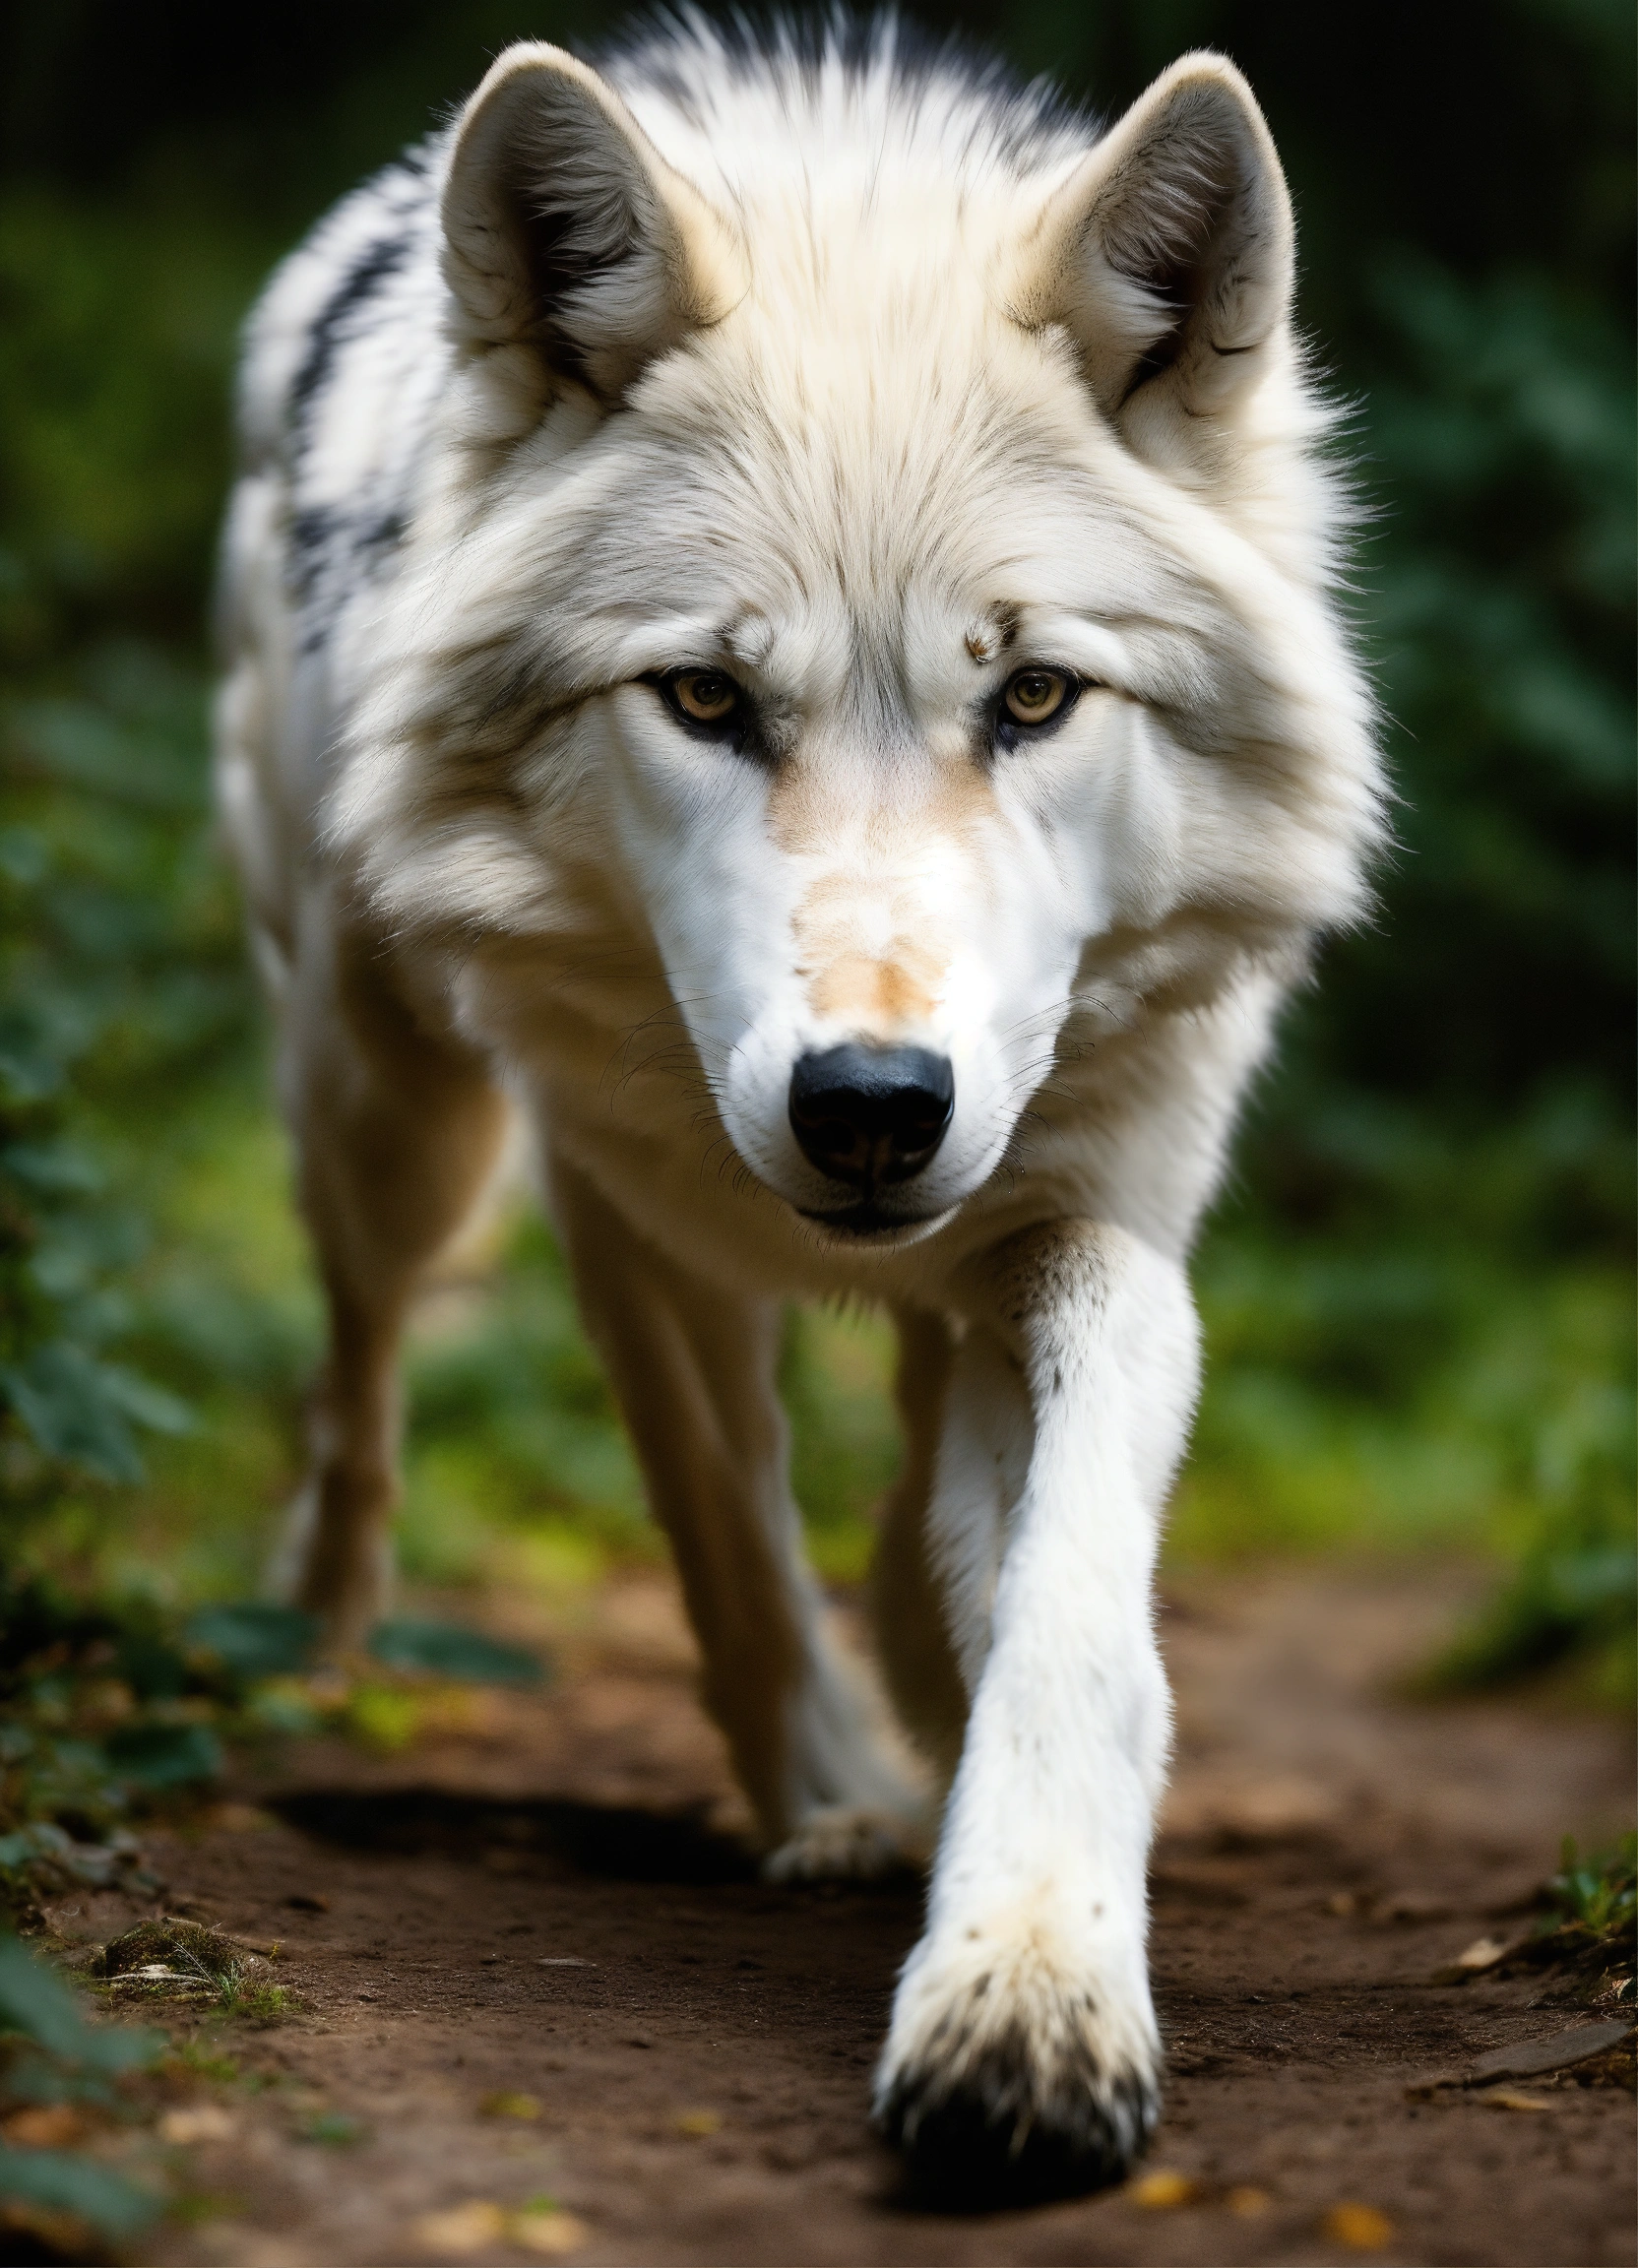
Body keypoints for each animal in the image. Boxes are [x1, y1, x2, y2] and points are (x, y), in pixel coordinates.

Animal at [215, 10, 1381, 2202]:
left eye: (1030, 697)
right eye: (703, 697)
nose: (868, 1107)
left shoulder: (1091, 1205)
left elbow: (1068, 1587)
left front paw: (1024, 1983)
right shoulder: (615, 1185)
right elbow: (723, 1514)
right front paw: (832, 1792)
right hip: (381, 1100)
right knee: (358, 1356)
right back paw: (306, 1642)